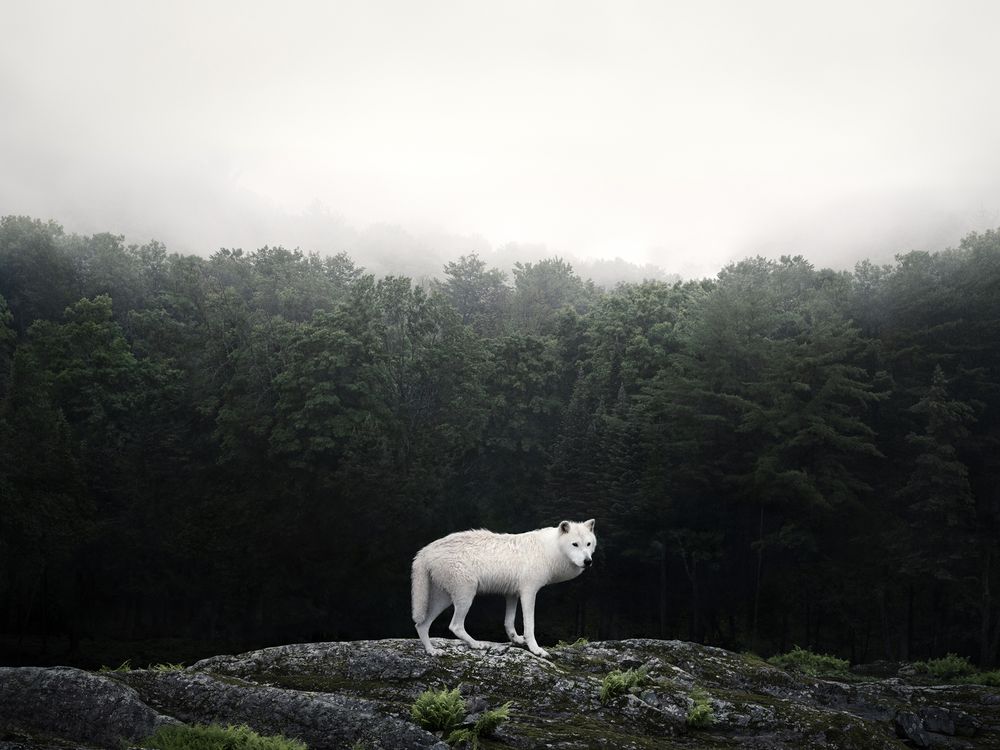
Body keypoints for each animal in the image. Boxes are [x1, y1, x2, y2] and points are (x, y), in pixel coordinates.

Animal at [411, 519, 596, 658]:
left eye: (588, 544)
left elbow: (508, 623)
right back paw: (477, 644)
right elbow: (530, 626)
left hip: (444, 600)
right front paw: (536, 650)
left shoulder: (512, 594)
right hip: (466, 596)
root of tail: (425, 550)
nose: (588, 561)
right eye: (575, 544)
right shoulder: (528, 592)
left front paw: (517, 640)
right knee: (454, 626)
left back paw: (432, 651)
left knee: (421, 625)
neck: (548, 551)